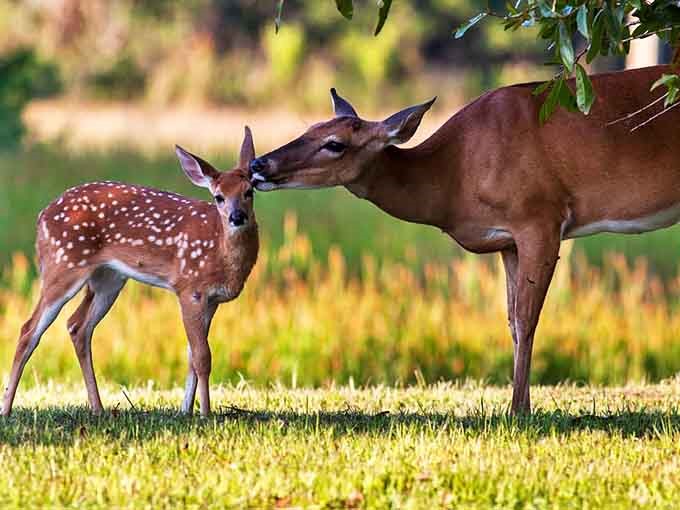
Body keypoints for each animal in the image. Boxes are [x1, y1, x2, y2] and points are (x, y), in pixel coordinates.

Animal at [1, 128, 259, 417]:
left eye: (249, 191)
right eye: (218, 197)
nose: (237, 217)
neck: (220, 251)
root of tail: (41, 217)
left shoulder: (211, 300)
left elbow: (192, 354)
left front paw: (185, 410)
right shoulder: (190, 289)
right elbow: (203, 356)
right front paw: (204, 413)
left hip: (108, 279)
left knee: (78, 326)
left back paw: (98, 408)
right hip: (62, 264)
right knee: (29, 330)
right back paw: (6, 409)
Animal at [249, 64, 680, 415]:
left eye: (335, 144)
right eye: (309, 129)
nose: (257, 164)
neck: (454, 175)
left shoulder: (540, 217)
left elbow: (528, 318)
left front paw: (517, 411)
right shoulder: (507, 241)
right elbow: (511, 320)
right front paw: (520, 404)